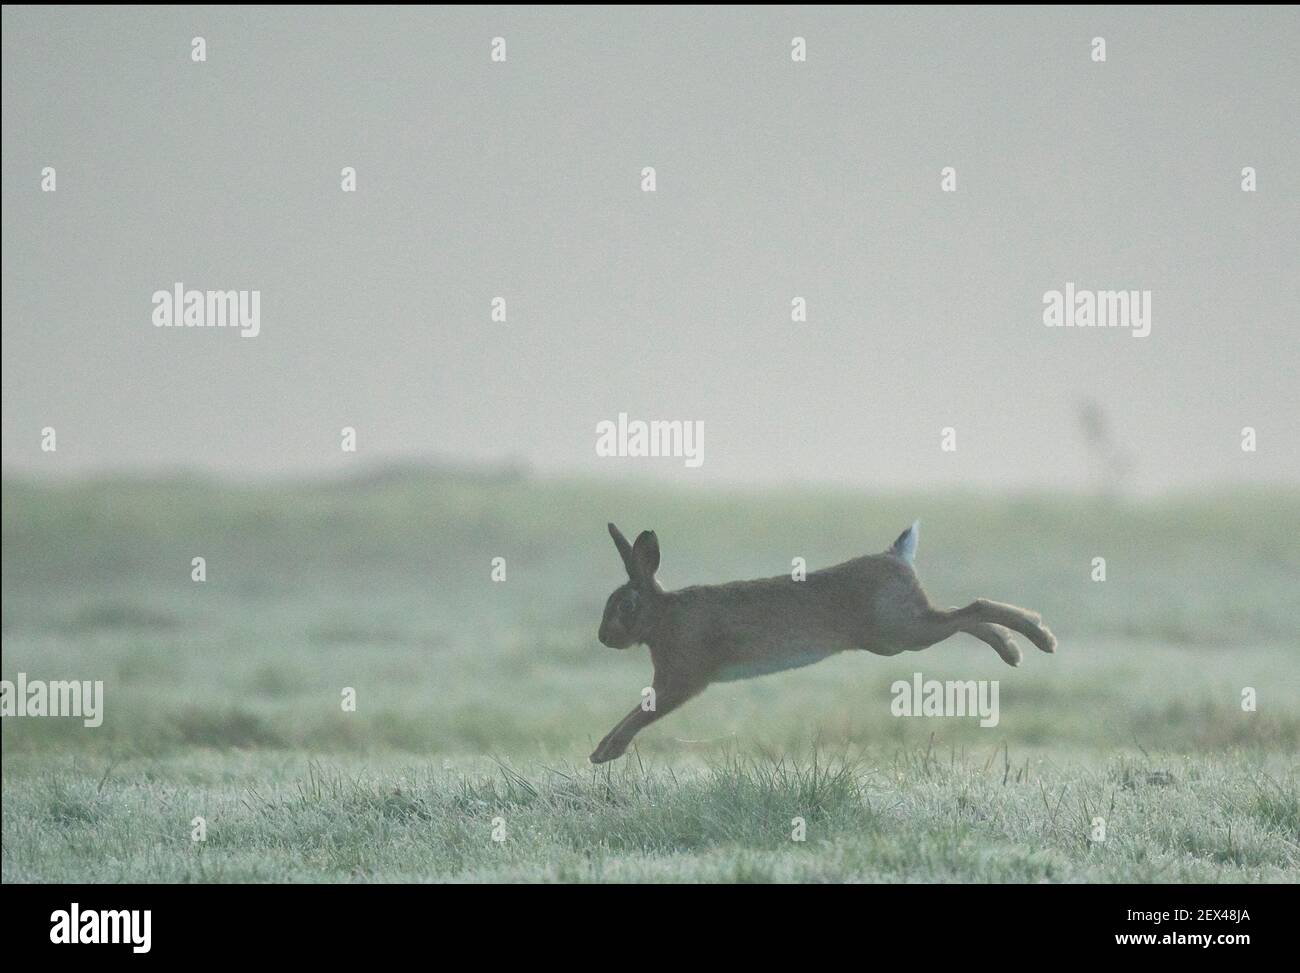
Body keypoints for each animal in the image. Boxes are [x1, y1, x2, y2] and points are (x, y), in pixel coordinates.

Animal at [590, 521, 1056, 764]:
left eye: (625, 605)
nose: (603, 638)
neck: (661, 616)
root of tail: (896, 557)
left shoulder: (680, 679)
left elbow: (641, 713)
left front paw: (605, 753)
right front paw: (601, 751)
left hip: (901, 631)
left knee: (971, 609)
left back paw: (1037, 639)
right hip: (900, 635)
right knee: (963, 616)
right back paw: (1015, 649)